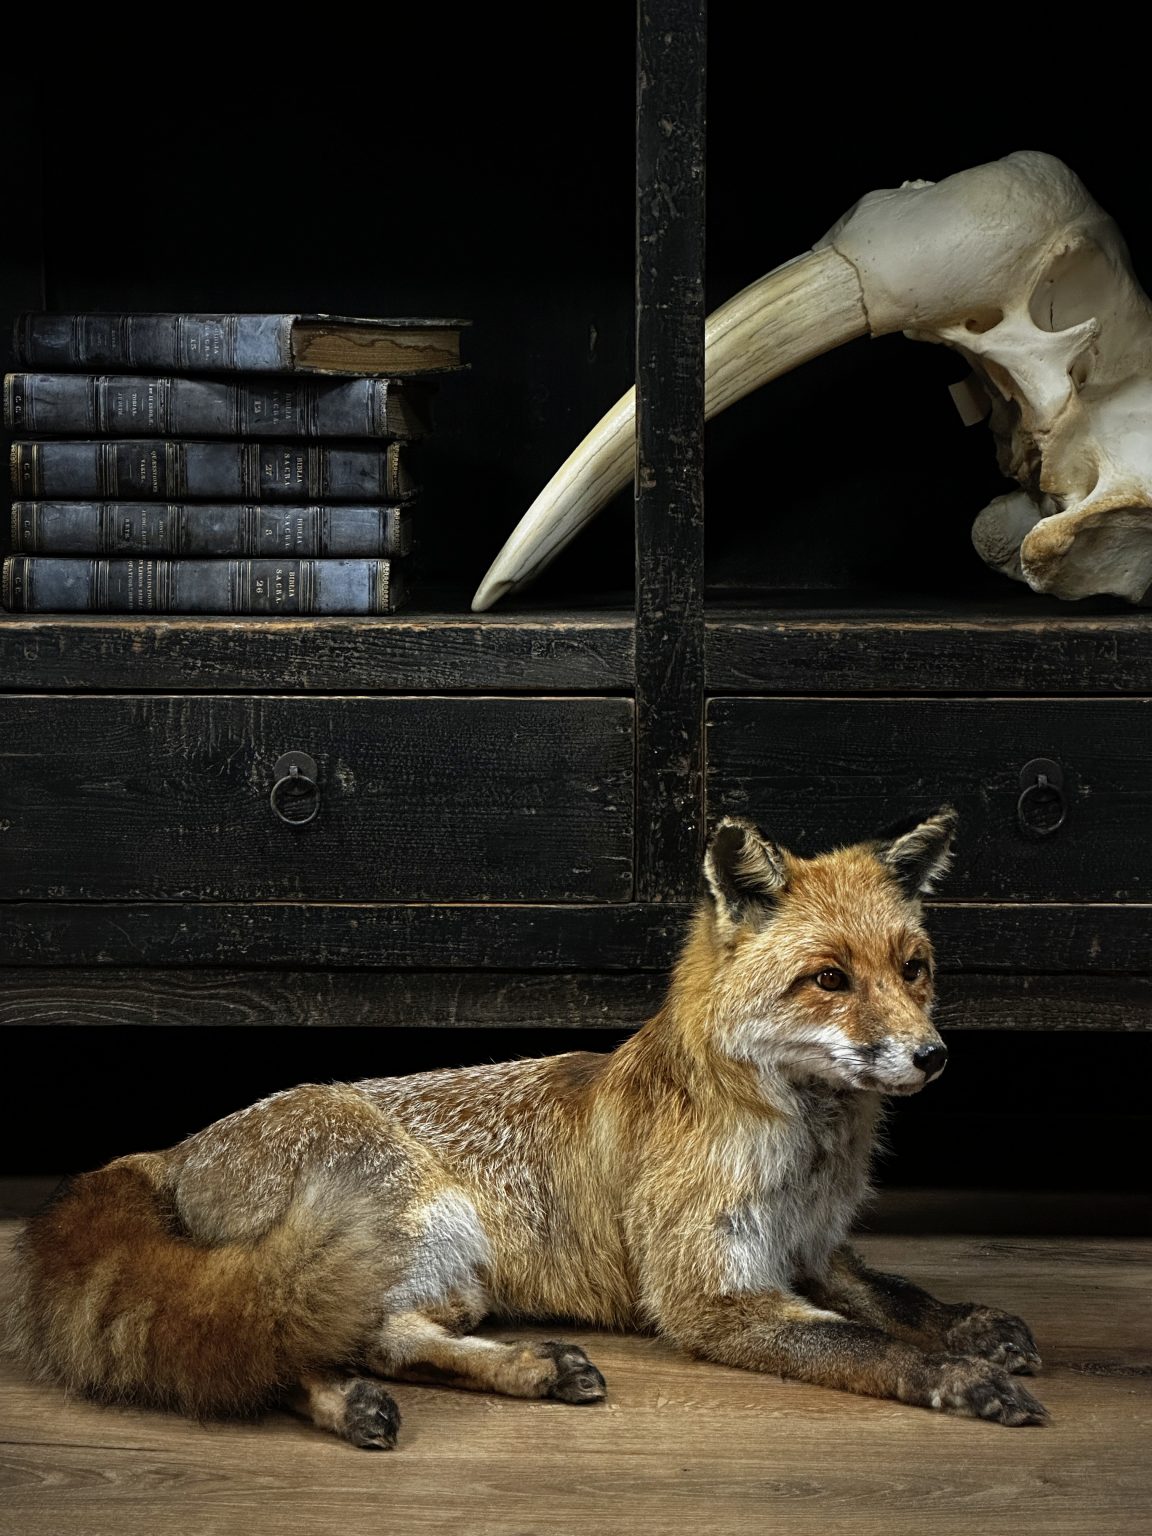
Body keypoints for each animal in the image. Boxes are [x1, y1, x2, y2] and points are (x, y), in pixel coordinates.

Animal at [2, 805, 1048, 1446]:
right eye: (829, 978)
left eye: (913, 968)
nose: (932, 1057)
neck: (802, 1147)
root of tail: (175, 1148)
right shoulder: (711, 1296)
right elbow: (869, 1347)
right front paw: (960, 1379)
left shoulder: (811, 1250)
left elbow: (899, 1297)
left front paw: (977, 1329)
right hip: (414, 1231)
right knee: (289, 1336)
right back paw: (455, 1382)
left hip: (445, 1278)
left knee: (338, 1338)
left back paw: (483, 1382)